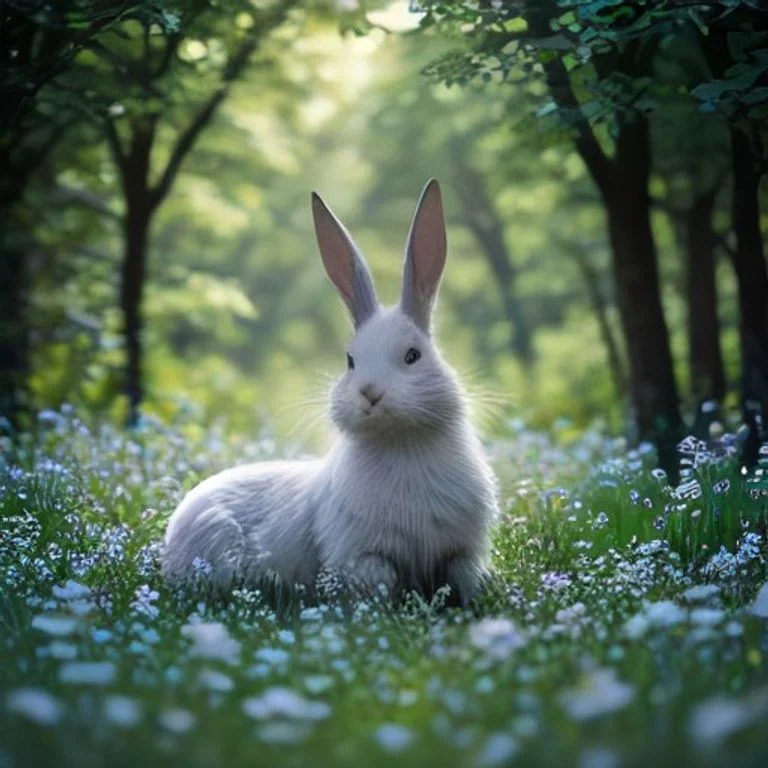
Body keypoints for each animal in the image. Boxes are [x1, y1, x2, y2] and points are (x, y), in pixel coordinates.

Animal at [162, 179, 499, 605]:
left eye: (413, 355)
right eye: (350, 360)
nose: (370, 393)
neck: (401, 442)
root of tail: (174, 530)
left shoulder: (462, 552)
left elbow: (465, 577)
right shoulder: (364, 555)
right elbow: (381, 581)